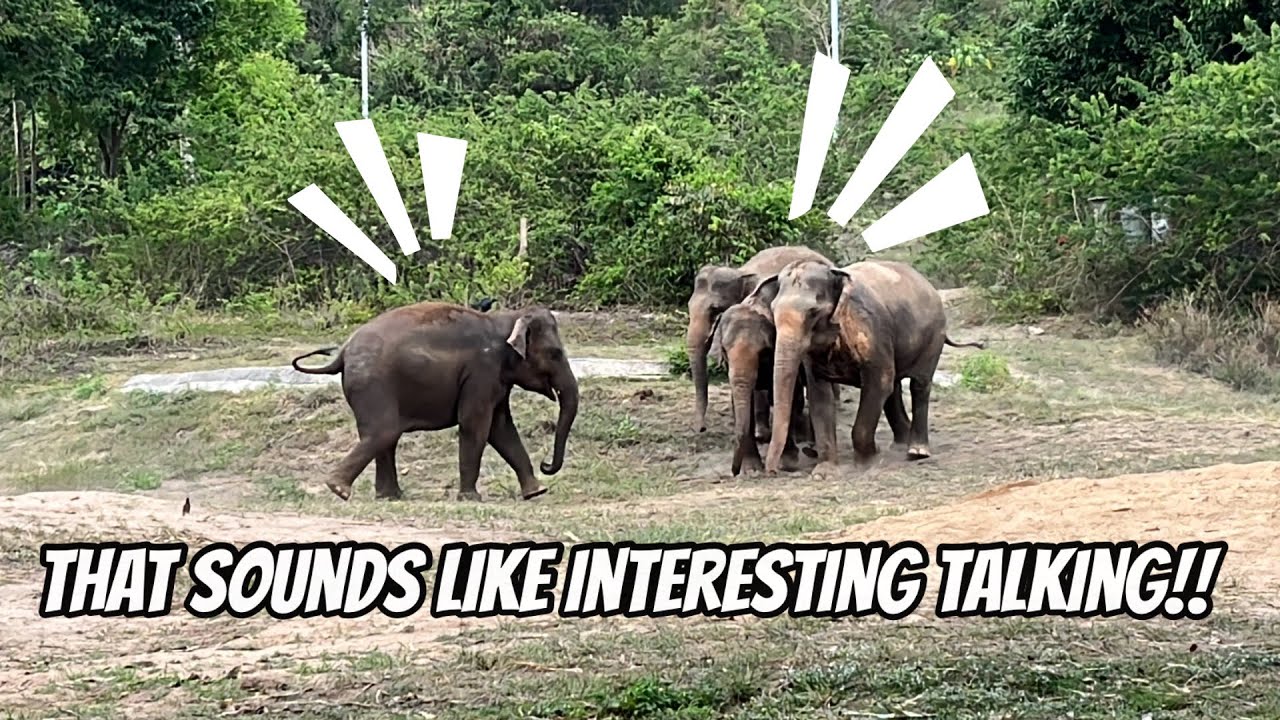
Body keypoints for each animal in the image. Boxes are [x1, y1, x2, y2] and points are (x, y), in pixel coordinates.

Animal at [290, 302, 579, 502]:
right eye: (555, 353)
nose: (545, 464)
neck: (507, 318)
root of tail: (342, 353)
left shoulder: (496, 379)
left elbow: (501, 428)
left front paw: (536, 492)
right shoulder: (481, 372)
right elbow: (476, 425)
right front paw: (471, 499)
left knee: (384, 436)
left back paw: (388, 496)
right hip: (373, 384)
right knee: (384, 432)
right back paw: (339, 489)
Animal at [708, 298, 831, 476]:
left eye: (764, 352)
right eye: (724, 350)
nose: (734, 472)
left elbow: (790, 395)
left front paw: (788, 463)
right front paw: (751, 470)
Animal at [745, 259, 984, 476]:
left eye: (813, 312)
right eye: (773, 311)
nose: (773, 471)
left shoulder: (871, 329)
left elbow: (877, 384)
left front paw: (867, 463)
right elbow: (820, 396)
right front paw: (824, 472)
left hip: (933, 337)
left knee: (918, 385)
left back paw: (916, 452)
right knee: (894, 387)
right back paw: (899, 445)